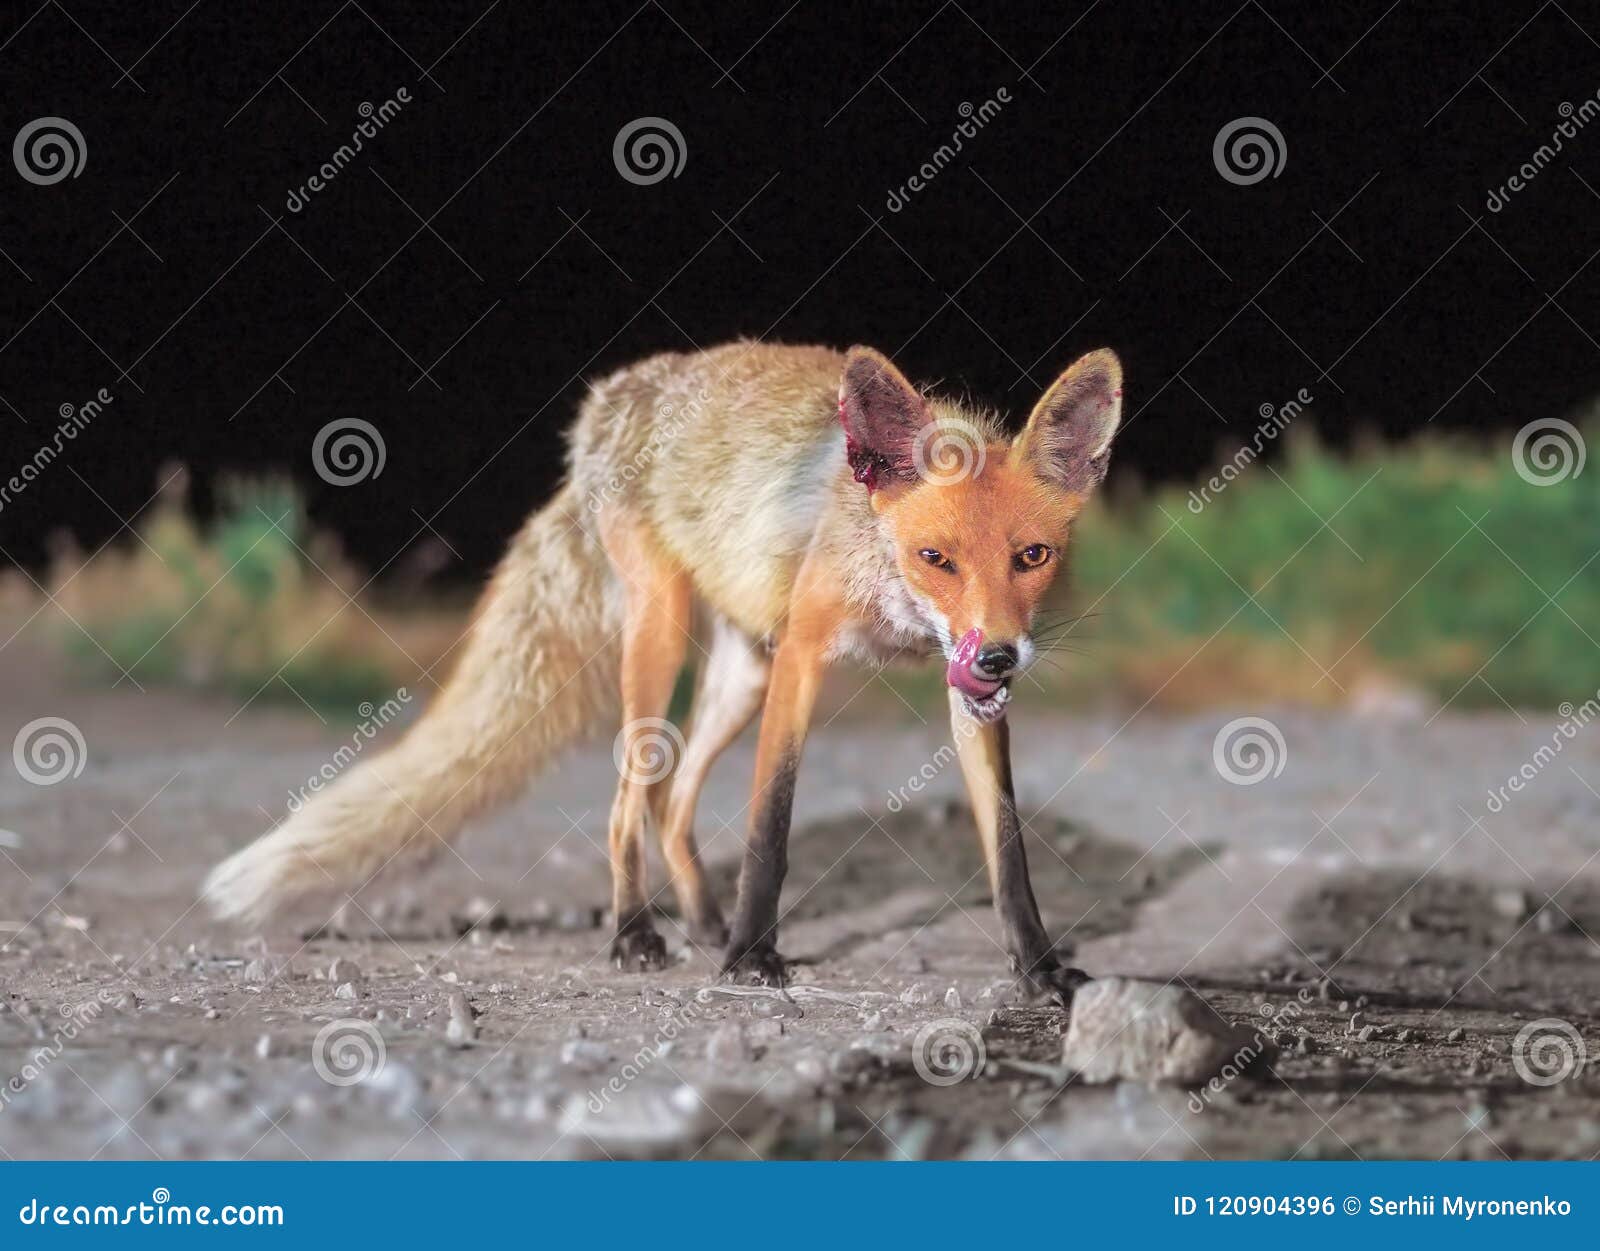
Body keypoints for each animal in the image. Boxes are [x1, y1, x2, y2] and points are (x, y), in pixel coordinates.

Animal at [202, 340, 1123, 1002]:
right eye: (935, 558)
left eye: (1033, 557)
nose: (1000, 654)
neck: (881, 574)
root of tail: (604, 405)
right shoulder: (804, 654)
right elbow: (769, 830)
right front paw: (752, 956)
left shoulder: (959, 692)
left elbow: (1008, 849)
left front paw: (1039, 968)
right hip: (661, 641)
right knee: (625, 805)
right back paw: (635, 933)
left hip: (740, 674)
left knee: (673, 804)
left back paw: (701, 921)